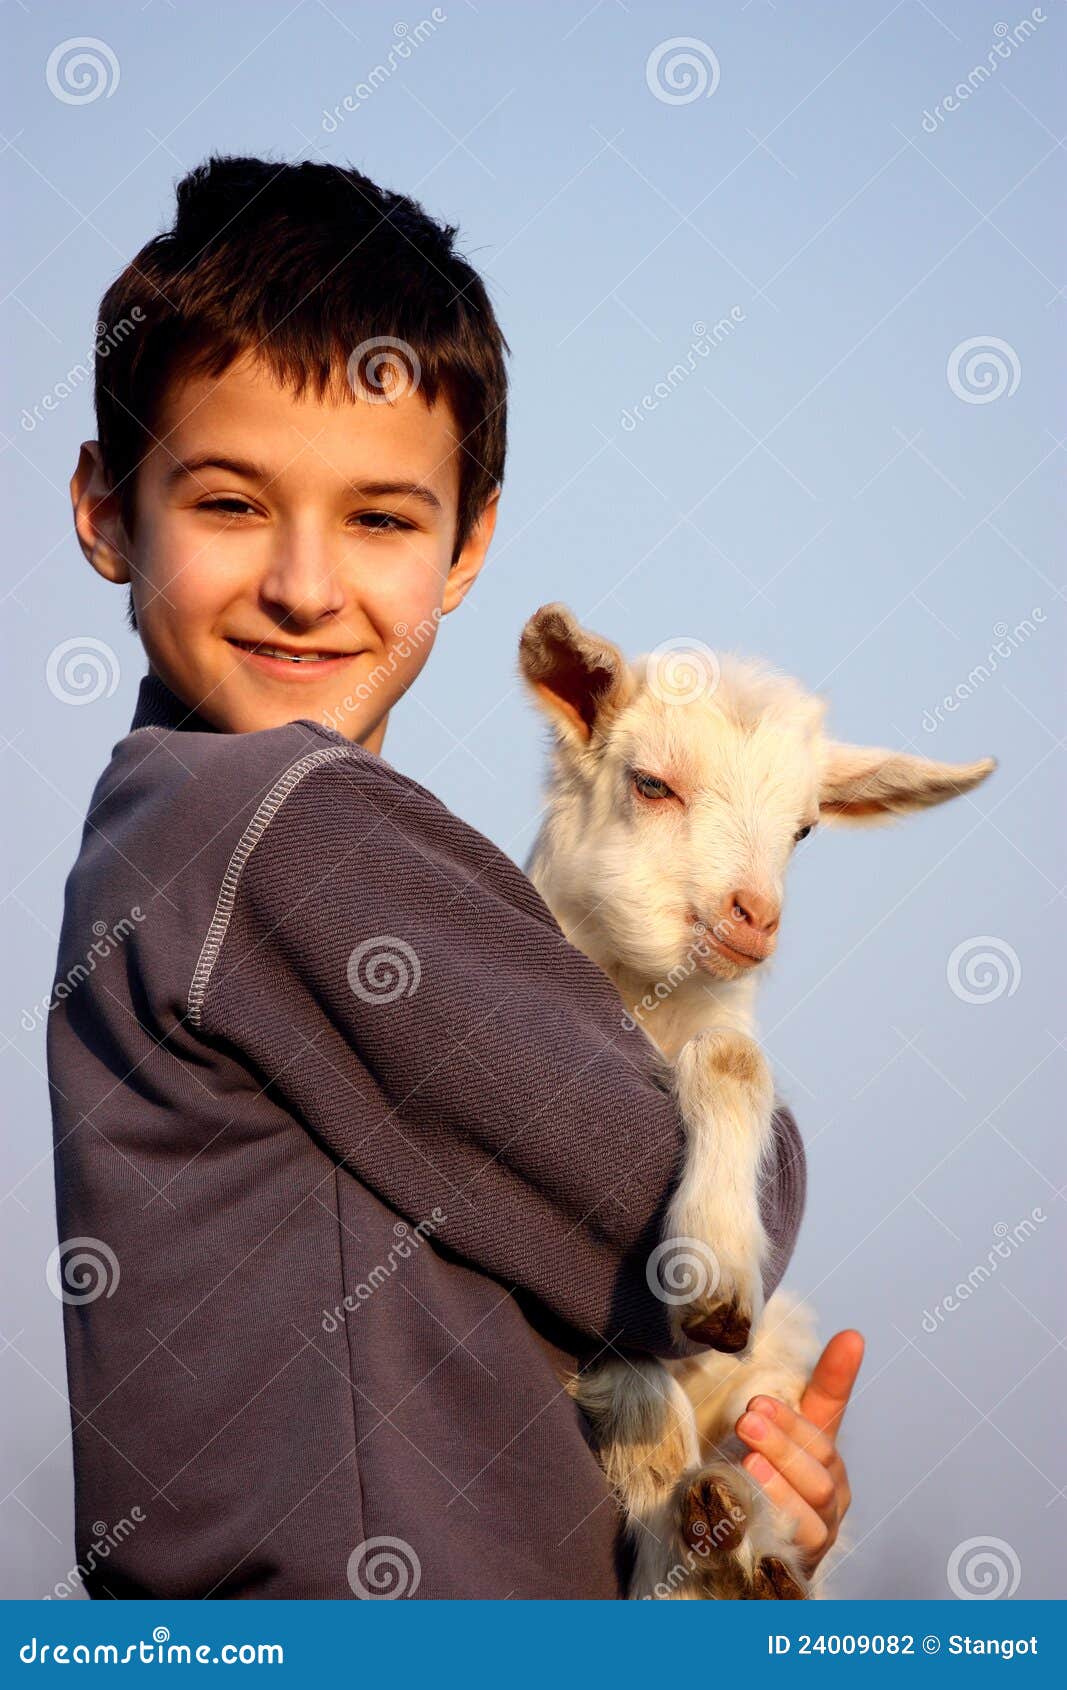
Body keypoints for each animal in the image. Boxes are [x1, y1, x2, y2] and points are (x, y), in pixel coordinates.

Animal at [518, 602, 995, 1600]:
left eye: (806, 829)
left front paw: (713, 1267)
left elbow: (731, 1057)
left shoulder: (769, 1355)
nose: (755, 916)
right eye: (651, 784)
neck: (642, 999)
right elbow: (633, 1381)